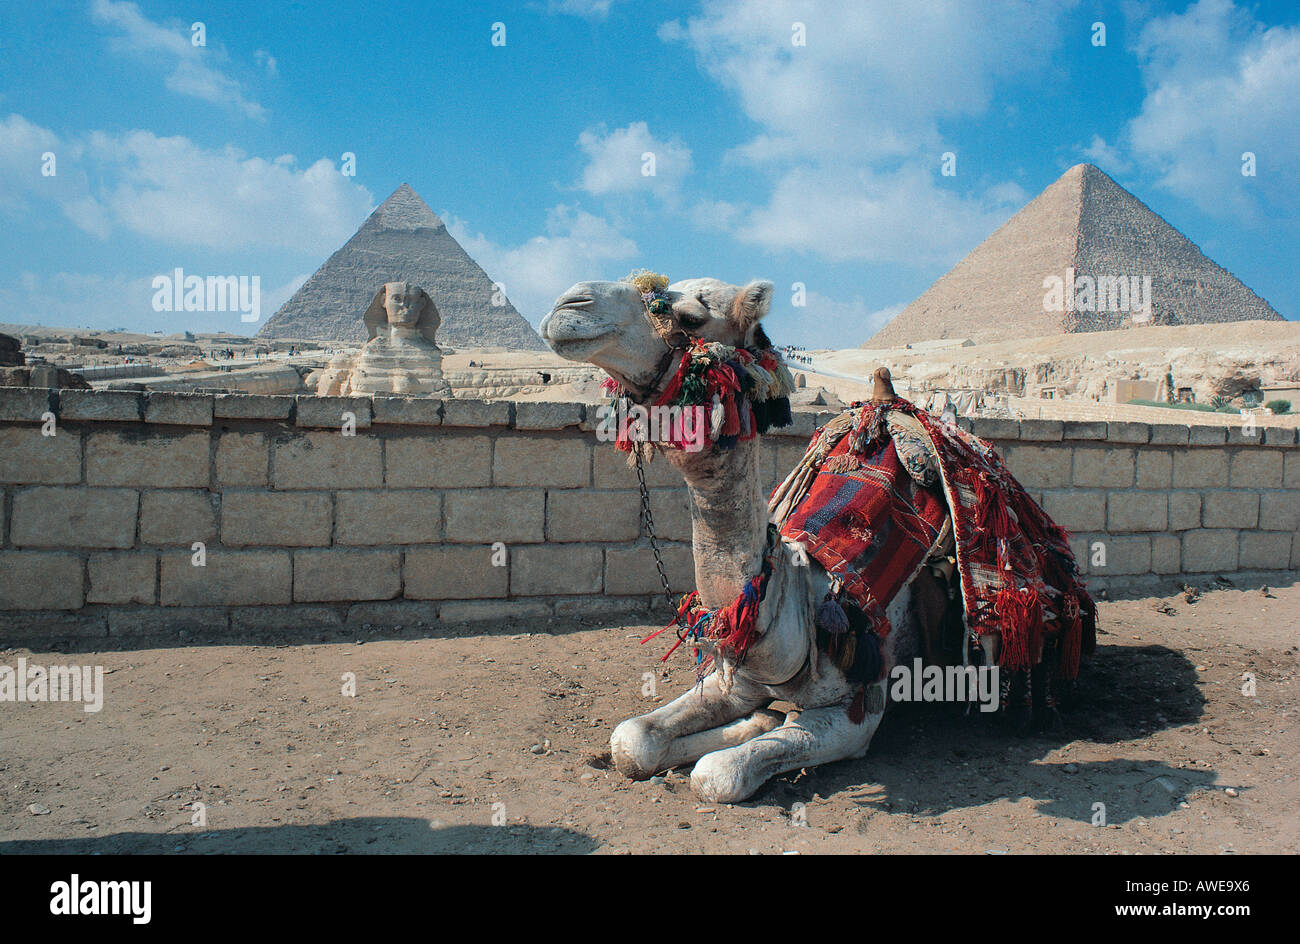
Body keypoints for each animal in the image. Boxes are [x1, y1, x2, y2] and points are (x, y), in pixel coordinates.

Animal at [540, 275, 962, 803]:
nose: (569, 304)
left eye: (691, 317)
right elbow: (631, 740)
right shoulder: (733, 681)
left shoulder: (858, 711)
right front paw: (755, 722)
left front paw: (750, 736)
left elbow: (717, 774)